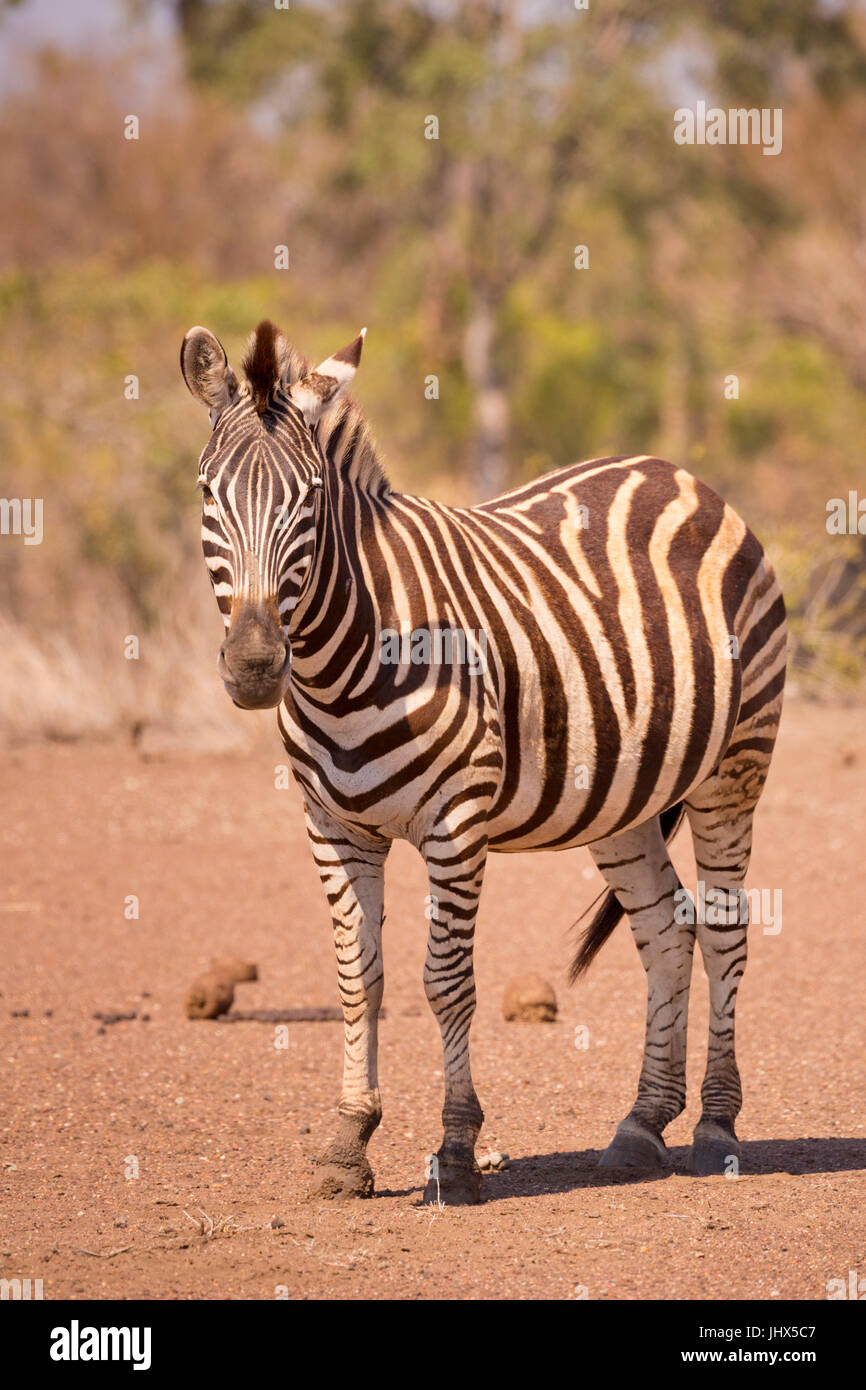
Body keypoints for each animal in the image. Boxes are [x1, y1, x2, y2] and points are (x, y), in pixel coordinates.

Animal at [181, 318, 786, 1204]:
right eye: (208, 495)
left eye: (311, 501)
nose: (256, 667)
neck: (346, 659)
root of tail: (679, 474)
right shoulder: (331, 826)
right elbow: (358, 977)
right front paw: (346, 1143)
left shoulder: (455, 823)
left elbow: (447, 980)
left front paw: (458, 1151)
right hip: (624, 799)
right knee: (666, 934)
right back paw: (641, 1128)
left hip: (733, 770)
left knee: (722, 931)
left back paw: (715, 1127)